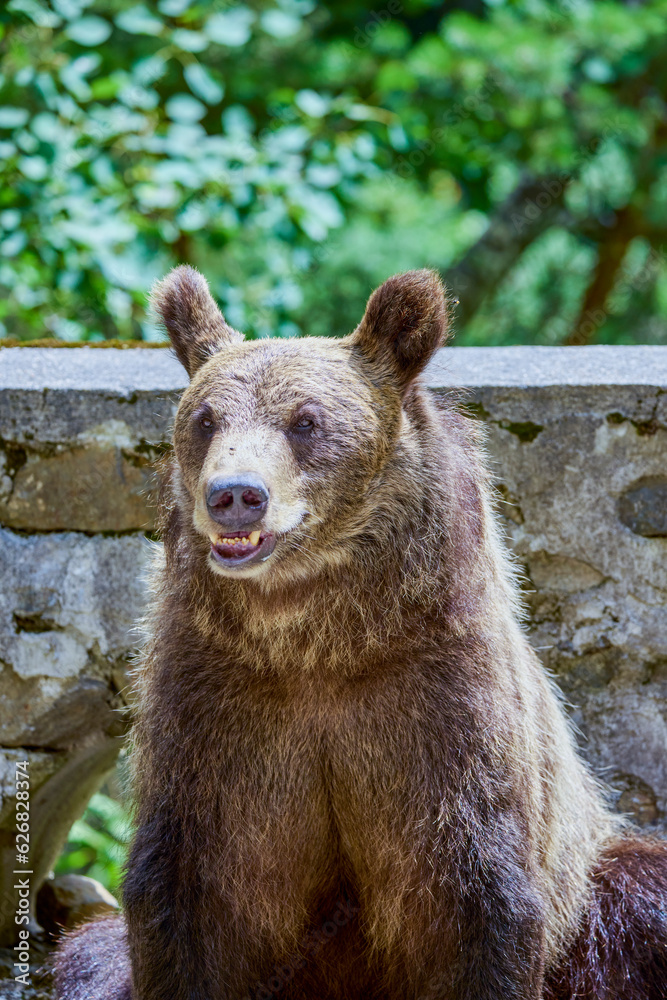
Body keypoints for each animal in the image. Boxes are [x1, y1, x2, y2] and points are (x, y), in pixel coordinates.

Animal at [54, 267, 667, 1000]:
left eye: (306, 421)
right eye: (205, 420)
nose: (235, 494)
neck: (318, 639)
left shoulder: (438, 705)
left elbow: (474, 895)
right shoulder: (214, 705)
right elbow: (186, 893)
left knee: (638, 897)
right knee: (88, 952)